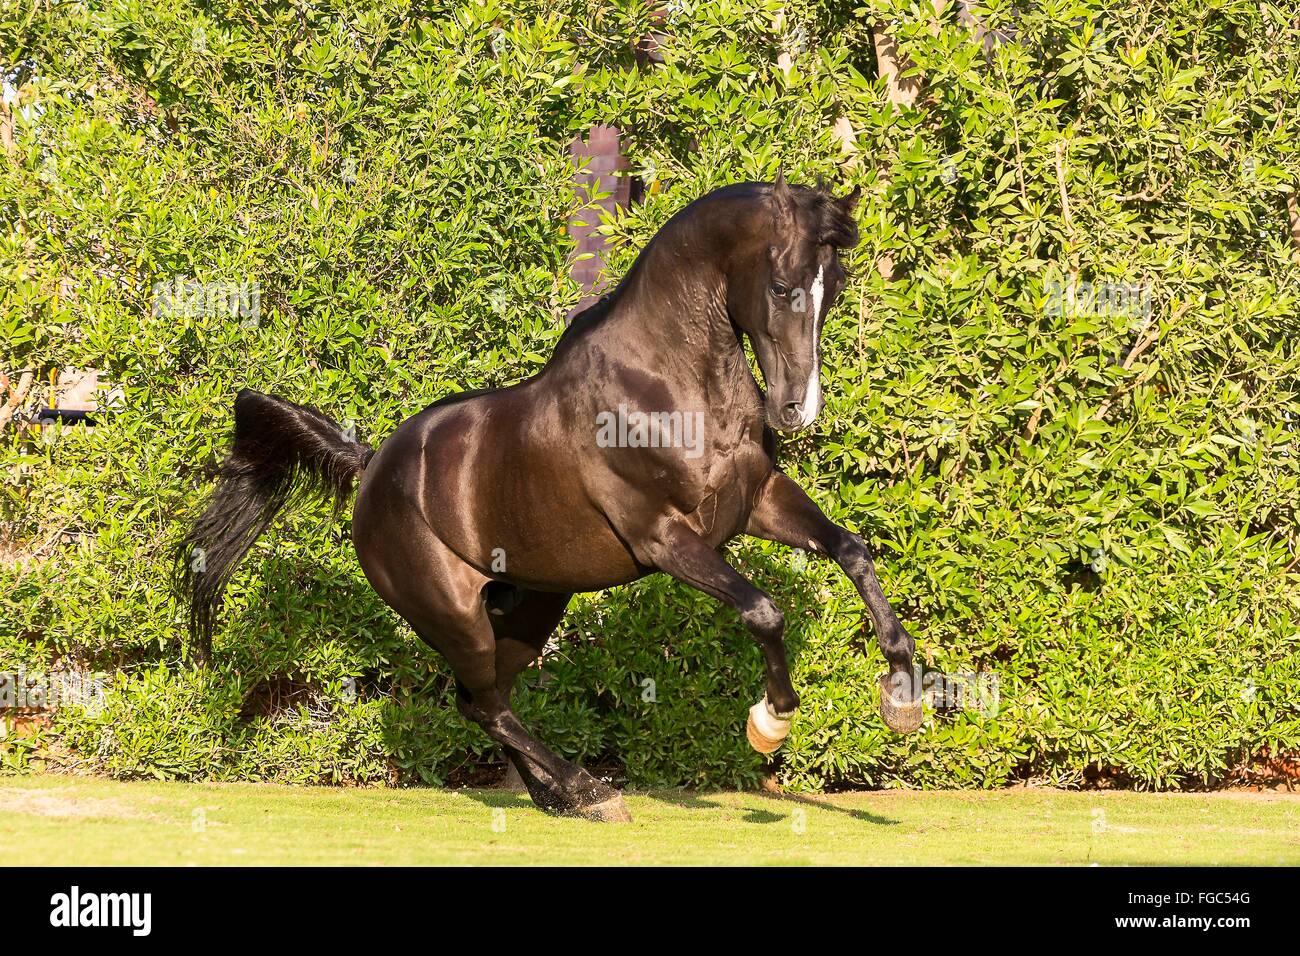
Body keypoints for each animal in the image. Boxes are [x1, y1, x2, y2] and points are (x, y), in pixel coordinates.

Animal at [177, 174, 922, 822]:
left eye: (833, 288)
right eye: (781, 285)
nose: (797, 409)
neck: (669, 387)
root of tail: (371, 466)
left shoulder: (755, 503)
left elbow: (851, 549)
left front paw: (902, 697)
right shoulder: (664, 536)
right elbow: (764, 610)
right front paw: (770, 722)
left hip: (531, 606)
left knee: (482, 703)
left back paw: (558, 797)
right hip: (453, 615)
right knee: (484, 704)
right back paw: (589, 790)